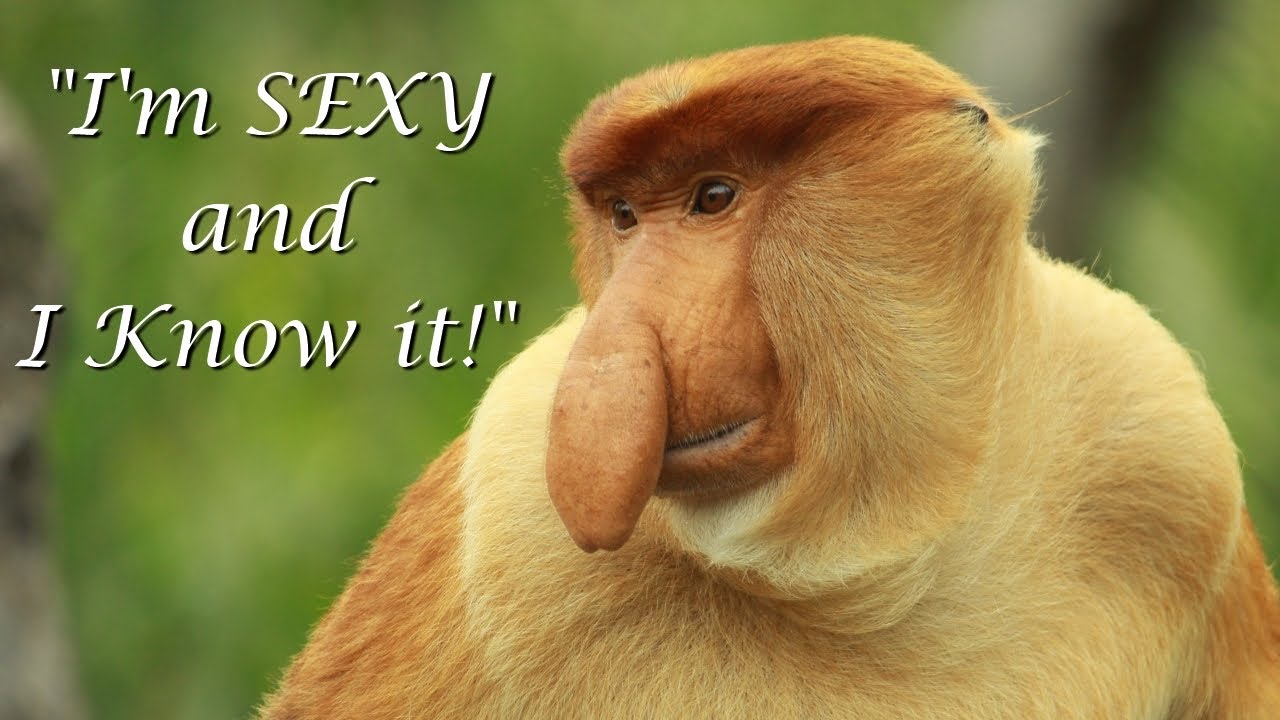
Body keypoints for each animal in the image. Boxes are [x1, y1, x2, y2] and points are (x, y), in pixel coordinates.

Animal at [257, 37, 1280, 719]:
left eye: (715, 197)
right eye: (624, 215)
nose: (613, 347)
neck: (879, 559)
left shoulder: (1161, 443)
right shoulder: (510, 501)